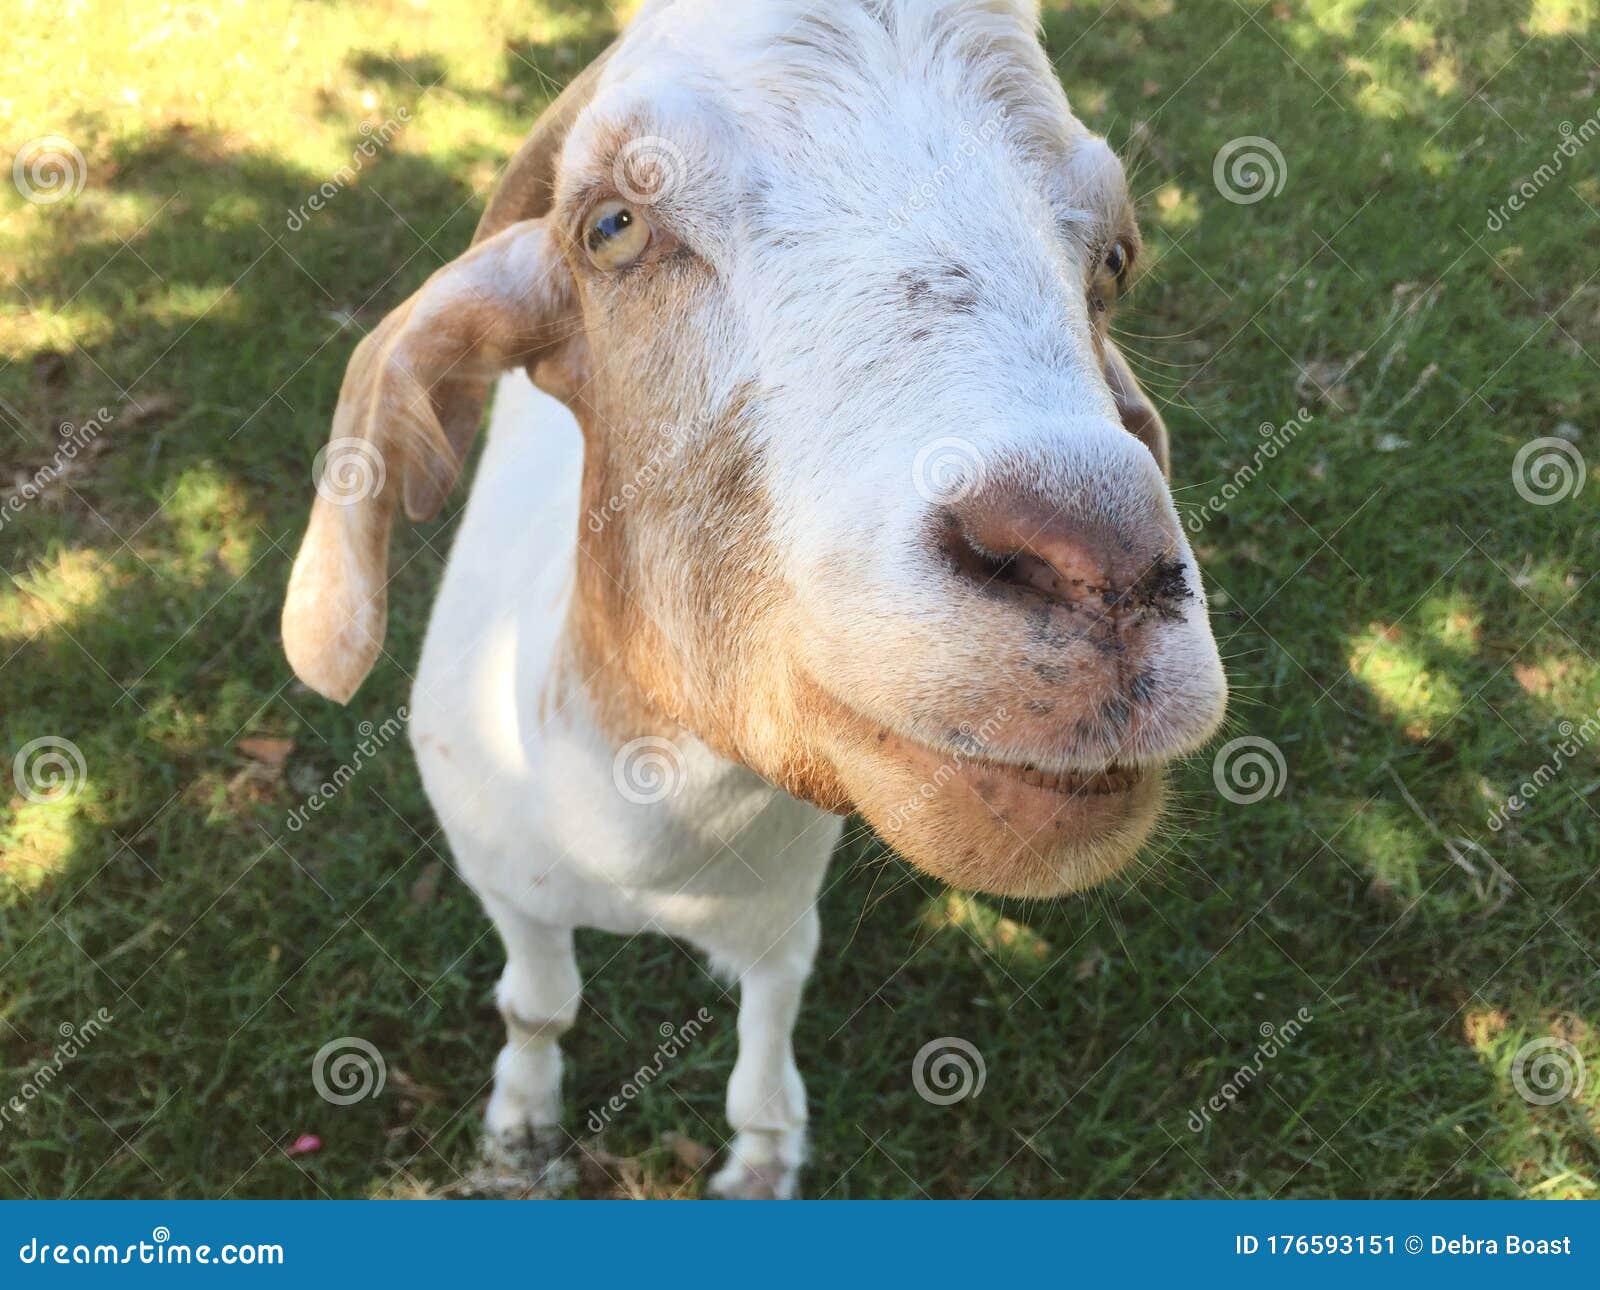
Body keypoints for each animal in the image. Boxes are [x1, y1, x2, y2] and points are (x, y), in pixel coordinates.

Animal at [282, 0, 1227, 1198]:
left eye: (1113, 259)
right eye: (611, 227)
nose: (1096, 565)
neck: (635, 855)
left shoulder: (779, 920)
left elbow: (765, 1049)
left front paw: (763, 1159)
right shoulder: (508, 889)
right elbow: (538, 1007)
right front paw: (521, 1130)